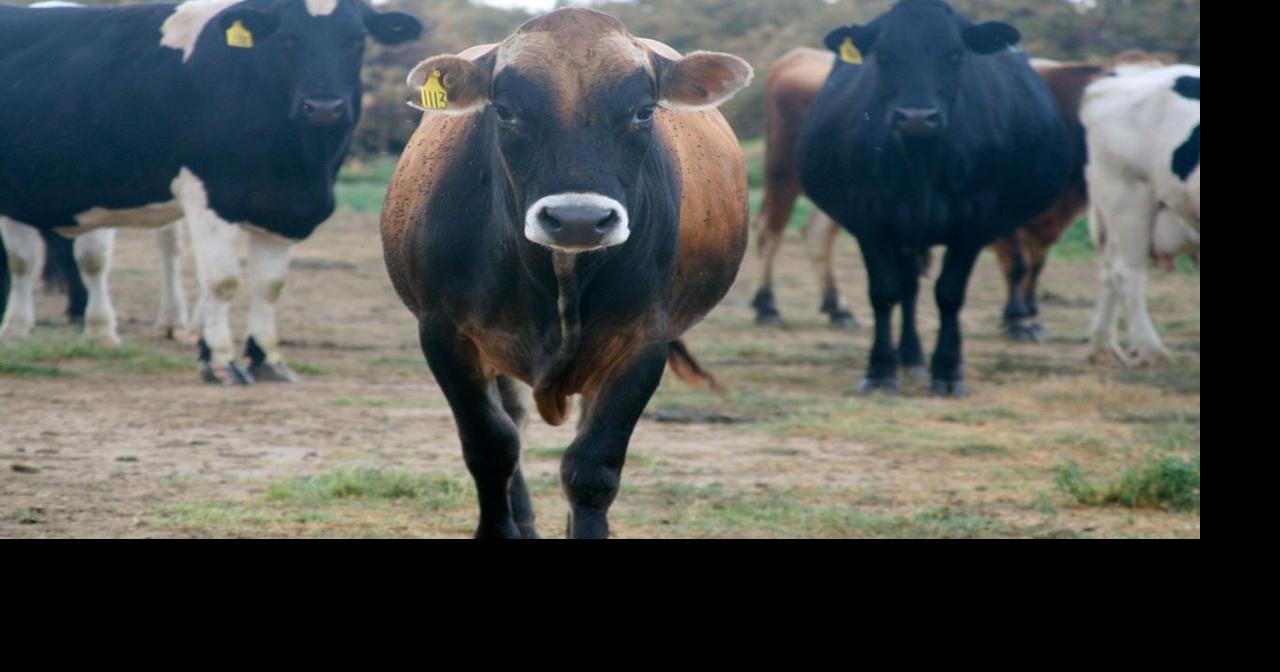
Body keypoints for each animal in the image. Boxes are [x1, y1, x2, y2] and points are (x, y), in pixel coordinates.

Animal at [0, 0, 423, 384]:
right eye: (288, 39)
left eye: (357, 41)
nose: (324, 107)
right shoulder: (209, 198)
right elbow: (222, 281)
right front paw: (220, 361)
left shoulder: (283, 211)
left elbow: (268, 286)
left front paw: (267, 358)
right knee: (24, 261)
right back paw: (17, 328)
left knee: (30, 260)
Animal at [380, 8, 752, 538]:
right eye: (505, 110)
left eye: (644, 110)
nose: (578, 218)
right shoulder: (445, 334)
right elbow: (491, 448)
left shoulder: (641, 343)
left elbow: (592, 468)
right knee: (512, 426)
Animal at [750, 46, 1104, 344]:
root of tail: (796, 57)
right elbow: (1018, 263)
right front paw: (1018, 320)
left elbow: (1035, 263)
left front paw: (1029, 318)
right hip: (782, 173)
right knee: (769, 233)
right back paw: (768, 306)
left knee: (817, 234)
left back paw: (839, 309)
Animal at [798, 0, 1072, 397]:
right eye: (884, 54)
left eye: (956, 54)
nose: (916, 118)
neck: (922, 166)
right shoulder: (869, 219)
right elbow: (884, 292)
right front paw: (880, 370)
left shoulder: (974, 223)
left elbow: (950, 294)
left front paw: (947, 371)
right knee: (908, 287)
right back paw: (909, 357)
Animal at [1082, 64, 1200, 366]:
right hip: (1130, 196)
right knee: (1127, 273)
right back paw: (1151, 350)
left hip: (1115, 209)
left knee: (1108, 269)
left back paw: (1104, 348)